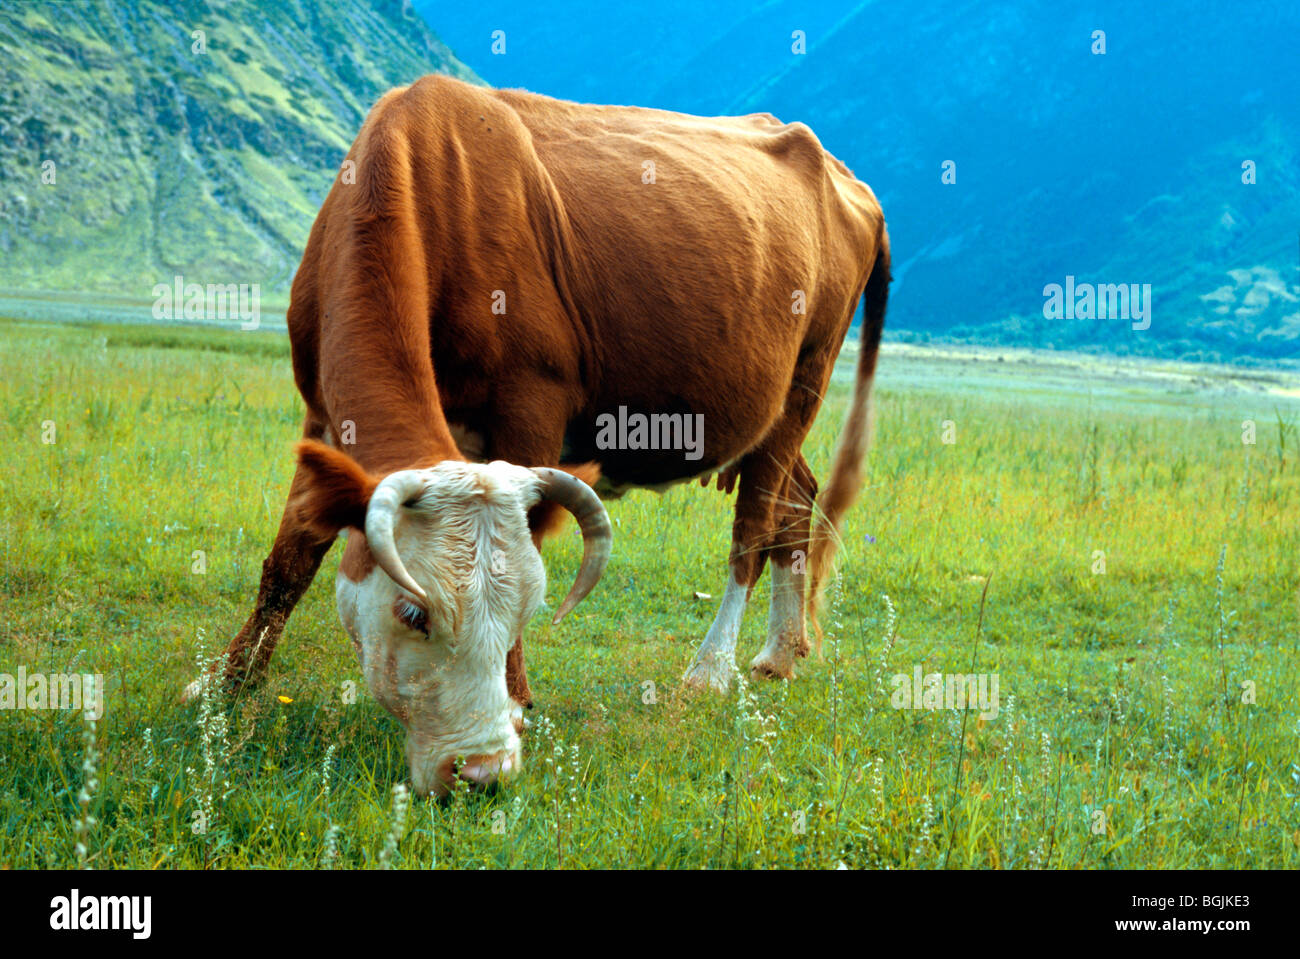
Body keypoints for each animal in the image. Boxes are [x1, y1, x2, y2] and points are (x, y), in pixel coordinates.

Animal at [186, 74, 890, 797]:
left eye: (528, 608)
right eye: (413, 613)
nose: (481, 769)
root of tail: (845, 177)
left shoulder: (532, 404)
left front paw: (519, 698)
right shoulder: (322, 416)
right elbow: (291, 556)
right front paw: (227, 680)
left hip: (804, 380)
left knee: (754, 525)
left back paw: (710, 669)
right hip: (772, 415)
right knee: (797, 501)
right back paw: (780, 653)